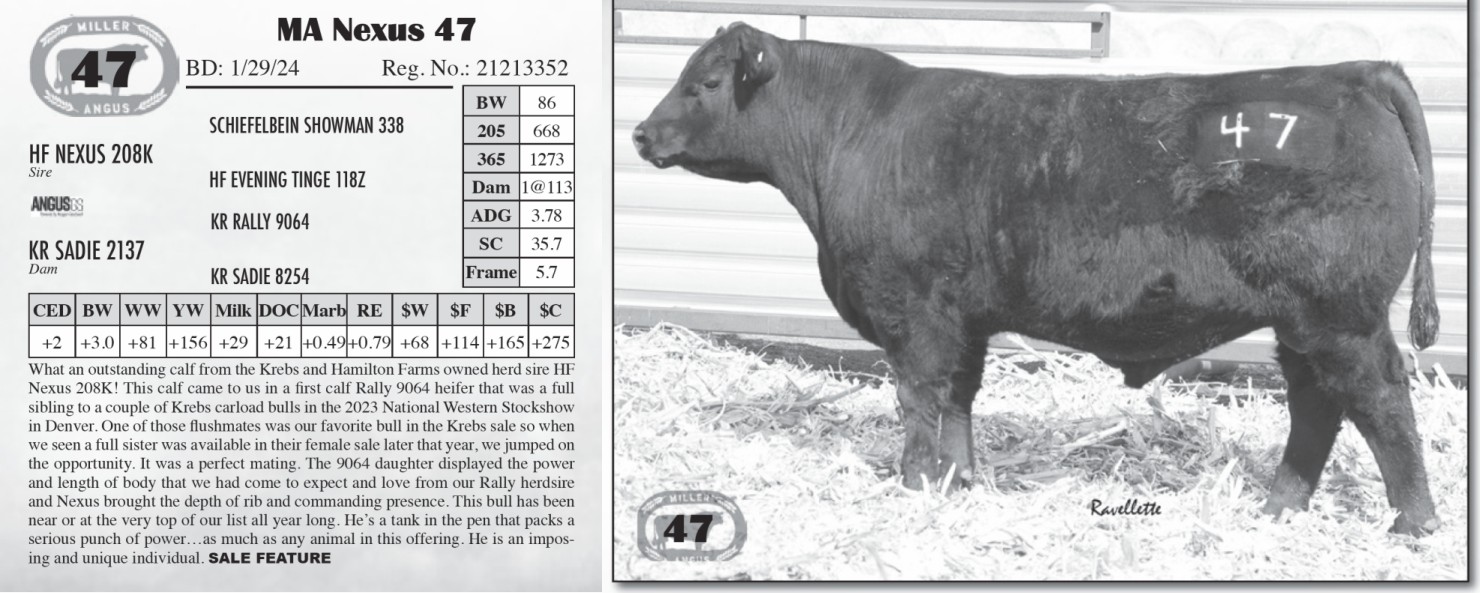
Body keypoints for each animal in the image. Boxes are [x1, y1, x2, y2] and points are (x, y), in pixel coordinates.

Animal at [632, 23, 1441, 536]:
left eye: (706, 81)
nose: (640, 132)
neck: (850, 138)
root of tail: (1353, 71)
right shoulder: (962, 316)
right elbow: (957, 400)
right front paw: (958, 480)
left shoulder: (913, 311)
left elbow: (918, 398)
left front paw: (914, 481)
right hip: (1302, 321)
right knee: (1317, 405)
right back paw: (1280, 508)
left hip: (1341, 314)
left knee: (1381, 399)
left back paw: (1412, 522)